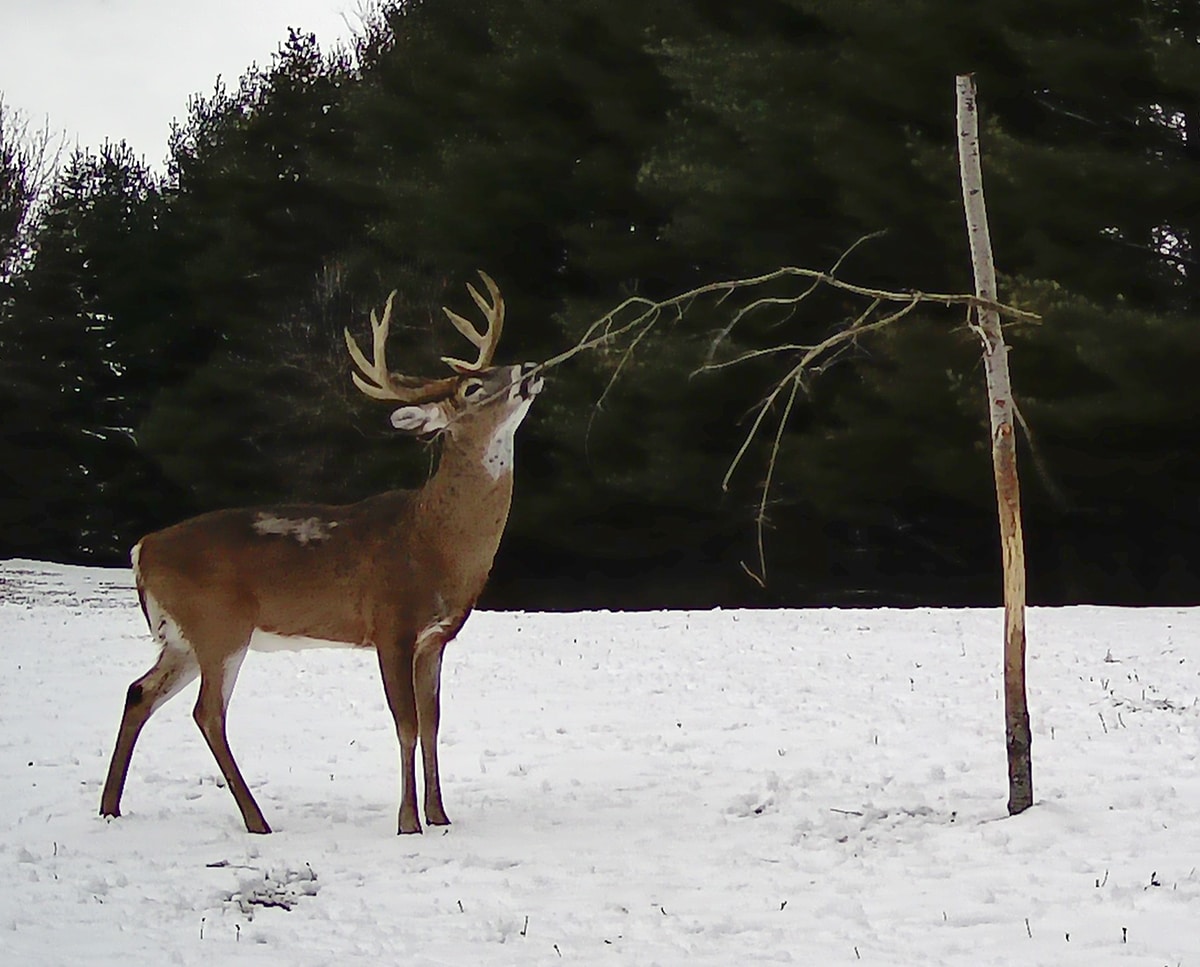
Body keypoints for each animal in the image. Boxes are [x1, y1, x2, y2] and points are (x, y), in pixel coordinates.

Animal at [99, 272, 542, 834]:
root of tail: (142, 548)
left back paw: (110, 807)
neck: (431, 542)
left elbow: (433, 723)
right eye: (471, 387)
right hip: (219, 624)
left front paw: (440, 816)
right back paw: (257, 821)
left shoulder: (435, 638)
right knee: (208, 713)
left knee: (140, 692)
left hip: (183, 636)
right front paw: (407, 822)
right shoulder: (389, 624)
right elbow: (405, 723)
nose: (529, 368)